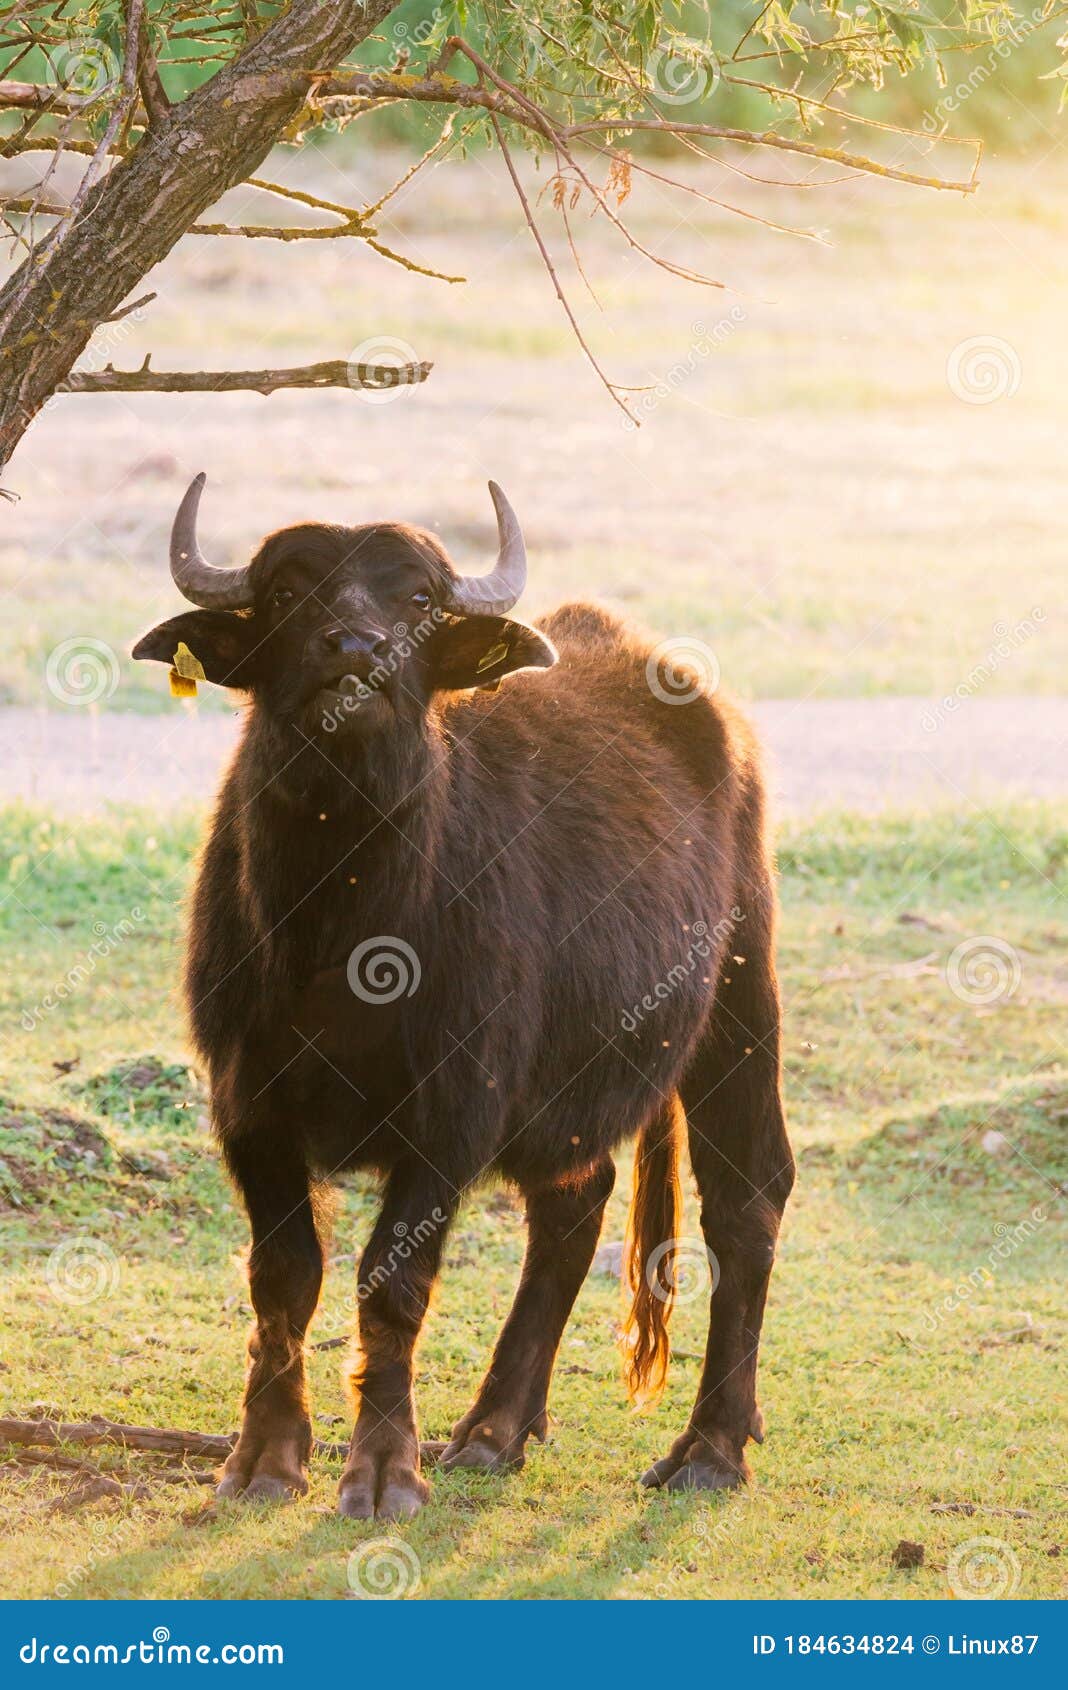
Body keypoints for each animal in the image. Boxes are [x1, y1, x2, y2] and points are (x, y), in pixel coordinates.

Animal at [133, 475, 793, 1519]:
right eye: (286, 594)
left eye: (415, 601)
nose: (355, 652)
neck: (344, 920)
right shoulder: (248, 1105)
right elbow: (284, 1278)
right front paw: (265, 1459)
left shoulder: (450, 1111)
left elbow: (389, 1285)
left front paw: (380, 1473)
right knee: (575, 1205)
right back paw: (493, 1430)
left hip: (739, 1000)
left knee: (746, 1201)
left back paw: (709, 1449)